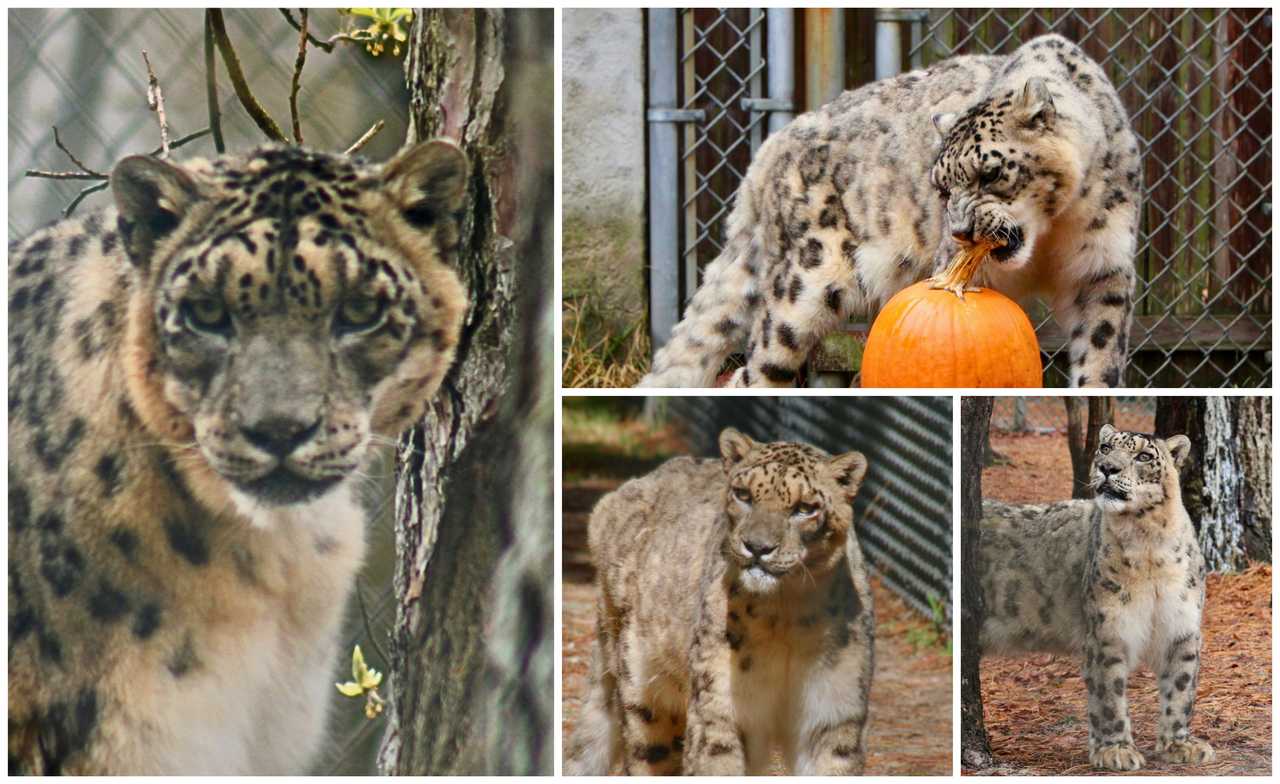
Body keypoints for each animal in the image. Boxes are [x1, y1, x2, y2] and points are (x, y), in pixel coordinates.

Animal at [565, 428, 874, 775]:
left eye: (806, 508)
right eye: (743, 494)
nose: (758, 546)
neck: (786, 615)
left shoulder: (833, 713)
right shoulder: (719, 703)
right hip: (642, 683)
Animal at [640, 34, 1139, 389]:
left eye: (989, 173)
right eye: (942, 189)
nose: (960, 232)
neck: (1052, 230)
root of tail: (770, 149)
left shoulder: (1101, 270)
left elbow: (1100, 354)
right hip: (800, 286)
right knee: (753, 370)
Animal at [977, 424, 1215, 771]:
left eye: (1144, 456)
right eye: (1105, 448)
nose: (1107, 468)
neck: (1149, 546)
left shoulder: (1181, 627)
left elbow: (1181, 688)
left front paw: (1179, 744)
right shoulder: (1109, 629)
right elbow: (1109, 694)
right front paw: (1115, 750)